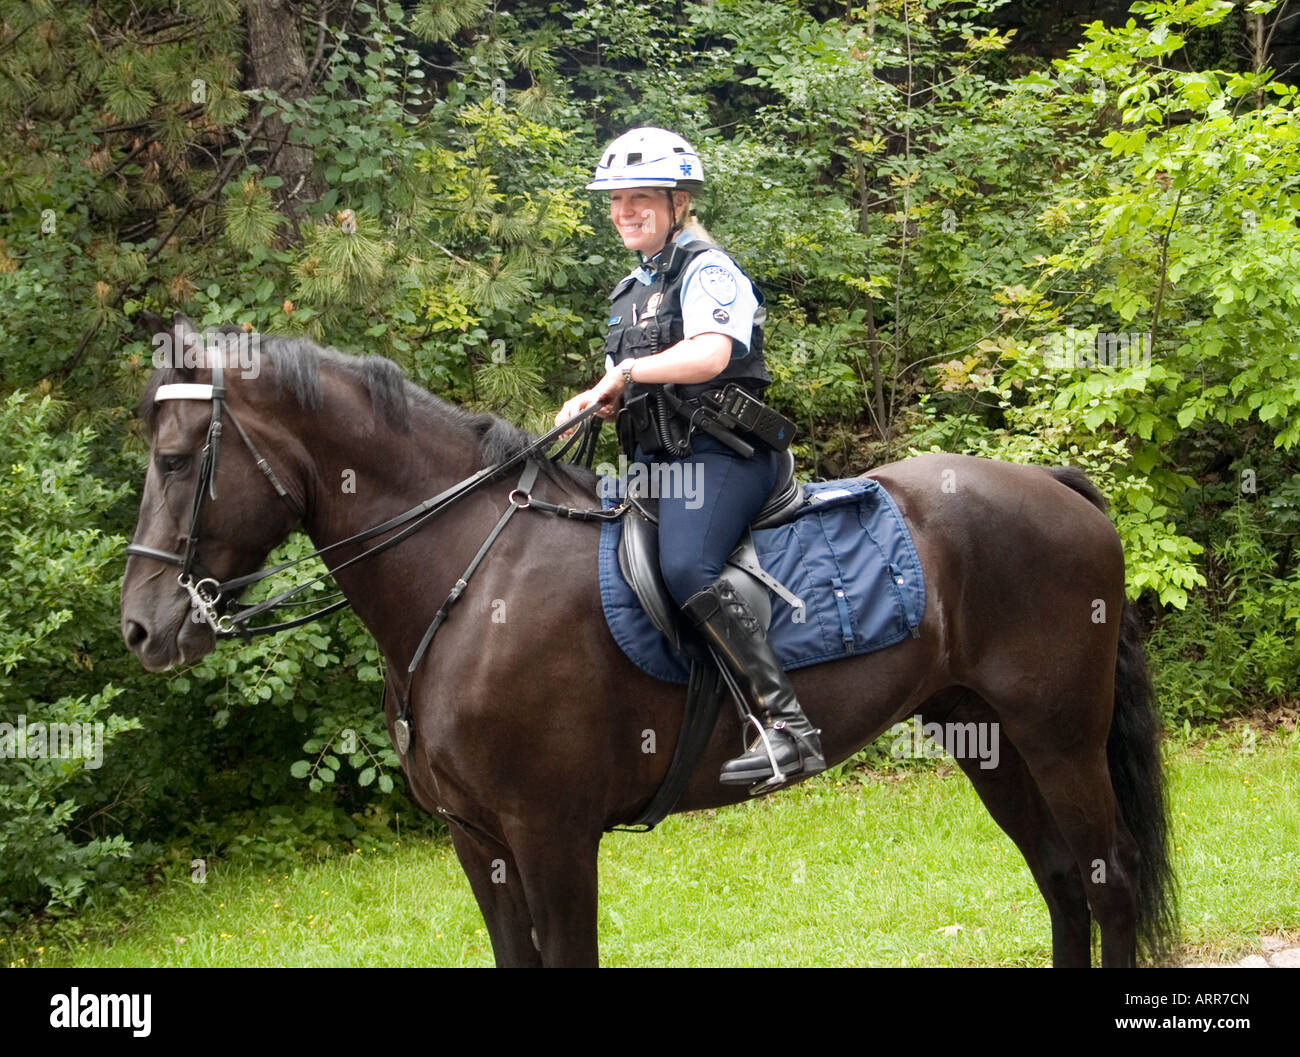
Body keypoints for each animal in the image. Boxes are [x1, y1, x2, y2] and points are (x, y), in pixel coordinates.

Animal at [120, 318, 1176, 967]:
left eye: (174, 459)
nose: (141, 626)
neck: (469, 577)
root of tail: (1055, 485)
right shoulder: (478, 840)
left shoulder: (551, 836)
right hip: (986, 738)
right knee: (1061, 882)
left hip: (1059, 740)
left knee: (1109, 879)